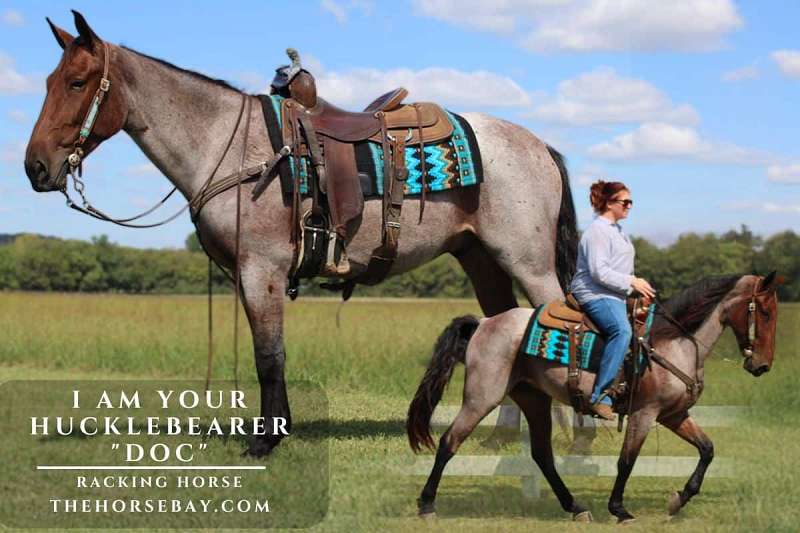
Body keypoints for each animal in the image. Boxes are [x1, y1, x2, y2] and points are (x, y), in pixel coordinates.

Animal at [24, 11, 578, 457]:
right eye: (50, 80)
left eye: (77, 83)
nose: (35, 167)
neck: (229, 146)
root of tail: (540, 145)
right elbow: (266, 350)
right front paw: (276, 429)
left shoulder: (261, 269)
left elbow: (269, 355)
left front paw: (266, 440)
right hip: (482, 260)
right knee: (506, 327)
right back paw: (503, 434)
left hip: (527, 261)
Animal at [407, 272, 781, 522]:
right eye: (763, 311)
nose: (762, 365)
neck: (672, 343)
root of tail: (484, 322)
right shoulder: (645, 413)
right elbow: (627, 461)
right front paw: (619, 509)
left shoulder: (673, 415)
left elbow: (707, 449)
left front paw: (679, 500)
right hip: (482, 397)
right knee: (449, 442)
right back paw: (426, 506)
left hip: (534, 400)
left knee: (542, 455)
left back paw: (576, 508)